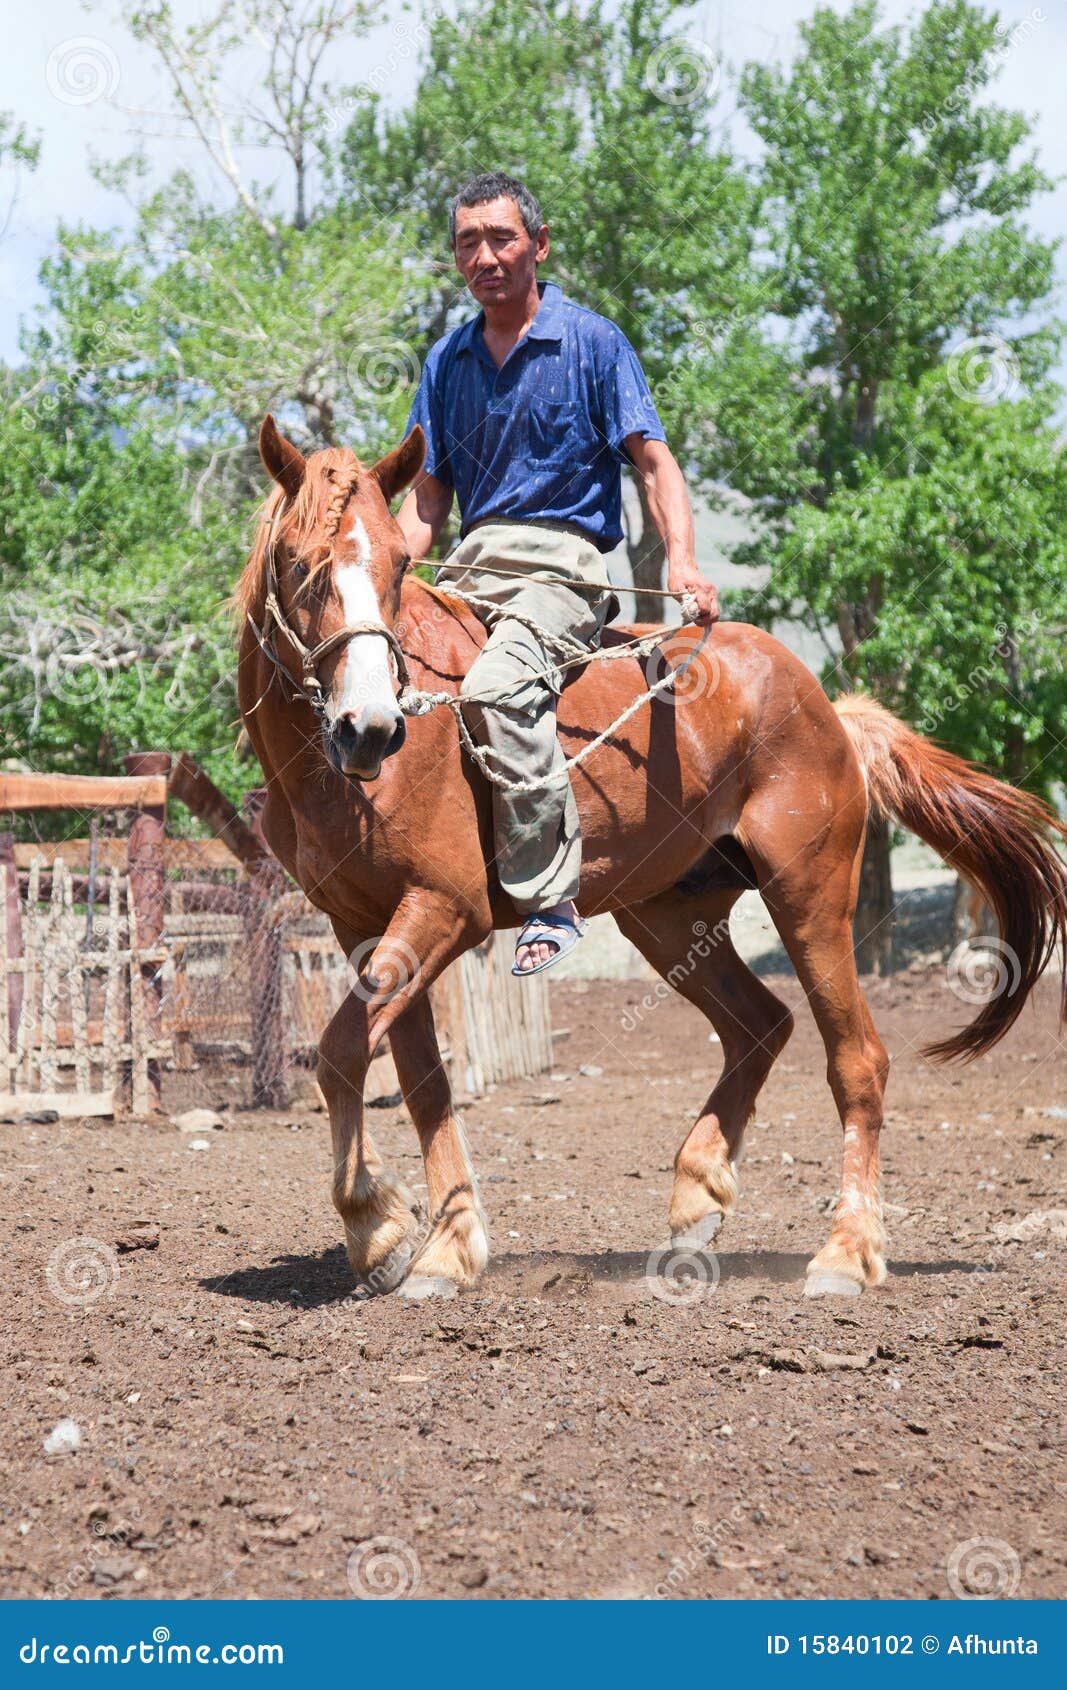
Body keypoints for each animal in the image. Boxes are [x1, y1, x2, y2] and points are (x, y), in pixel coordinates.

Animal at [236, 413, 1067, 1301]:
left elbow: (341, 1053)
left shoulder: (442, 907)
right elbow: (418, 1080)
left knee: (856, 1060)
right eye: (299, 563)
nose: (371, 728)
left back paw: (845, 1252)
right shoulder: (363, 922)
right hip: (668, 917)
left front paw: (376, 1228)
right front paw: (442, 1249)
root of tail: (827, 706)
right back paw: (695, 1202)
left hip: (807, 896)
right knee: (758, 1026)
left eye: (396, 563)